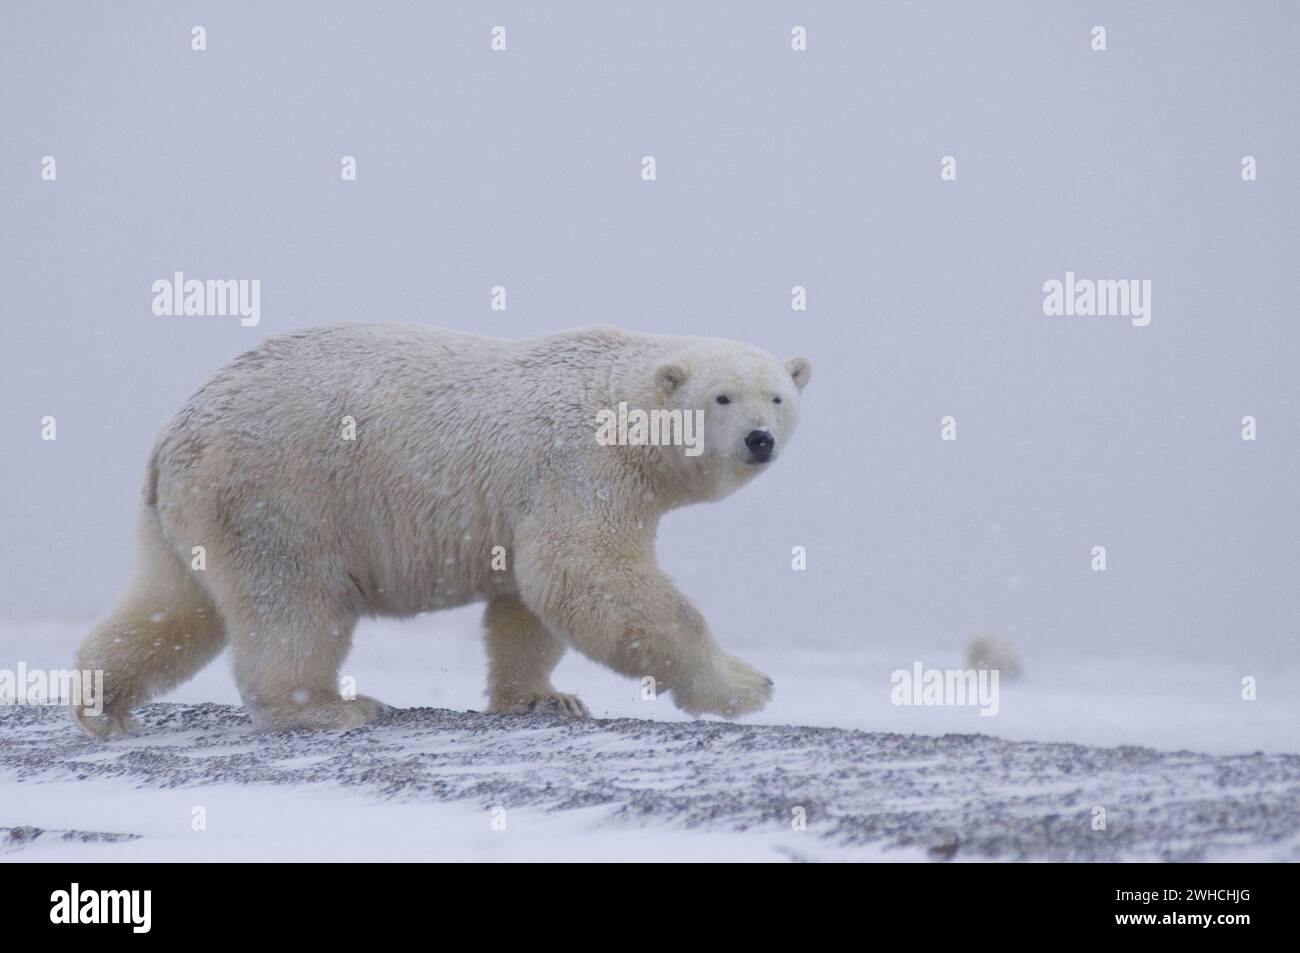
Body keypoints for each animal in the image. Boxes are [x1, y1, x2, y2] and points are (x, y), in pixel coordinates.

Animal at [73, 323, 812, 736]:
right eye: (722, 396)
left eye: (778, 395)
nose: (761, 439)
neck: (620, 410)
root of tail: (176, 430)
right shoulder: (579, 468)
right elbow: (591, 575)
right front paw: (749, 687)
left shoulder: (532, 497)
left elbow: (528, 603)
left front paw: (545, 699)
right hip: (278, 494)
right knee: (295, 603)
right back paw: (330, 707)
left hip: (191, 510)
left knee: (172, 603)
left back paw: (102, 702)